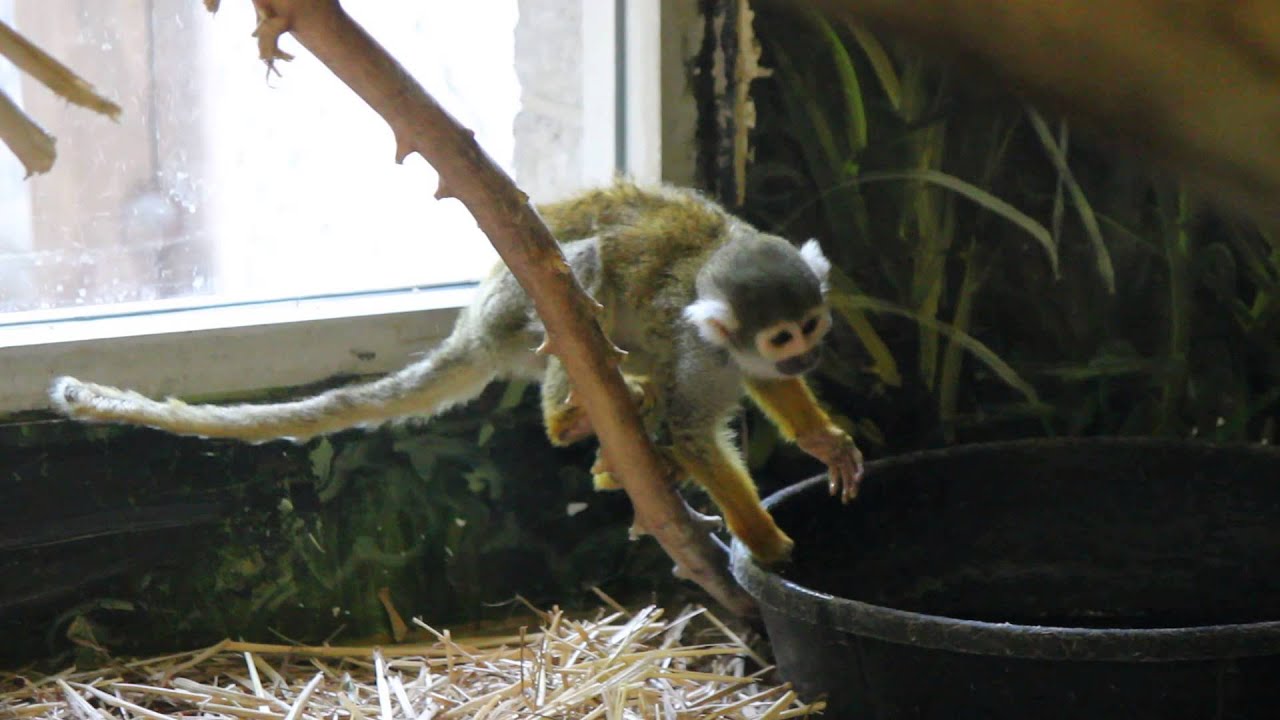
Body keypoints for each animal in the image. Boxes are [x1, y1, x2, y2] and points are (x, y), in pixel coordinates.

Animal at [48, 182, 863, 565]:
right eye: (784, 332)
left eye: (810, 328)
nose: (806, 353)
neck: (727, 349)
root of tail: (475, 319)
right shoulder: (699, 355)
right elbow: (695, 432)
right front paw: (764, 543)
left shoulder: (741, 361)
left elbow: (763, 389)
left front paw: (823, 441)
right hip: (522, 313)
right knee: (580, 278)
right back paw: (577, 416)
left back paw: (618, 461)